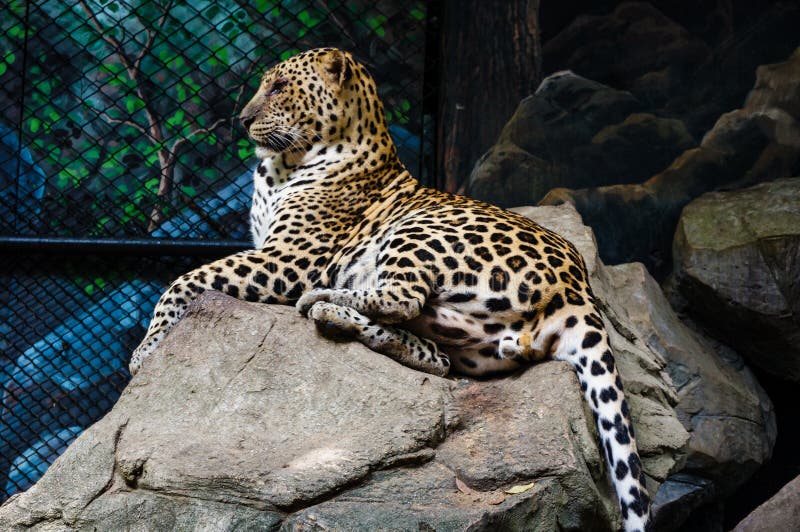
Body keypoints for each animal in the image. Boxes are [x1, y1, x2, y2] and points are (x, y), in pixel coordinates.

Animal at [130, 48, 650, 531]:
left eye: (278, 87)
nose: (243, 119)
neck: (283, 164)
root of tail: (578, 287)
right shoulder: (270, 249)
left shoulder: (290, 259)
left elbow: (185, 278)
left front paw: (146, 350)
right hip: (475, 345)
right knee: (431, 351)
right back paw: (339, 318)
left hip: (419, 229)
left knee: (400, 298)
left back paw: (323, 301)